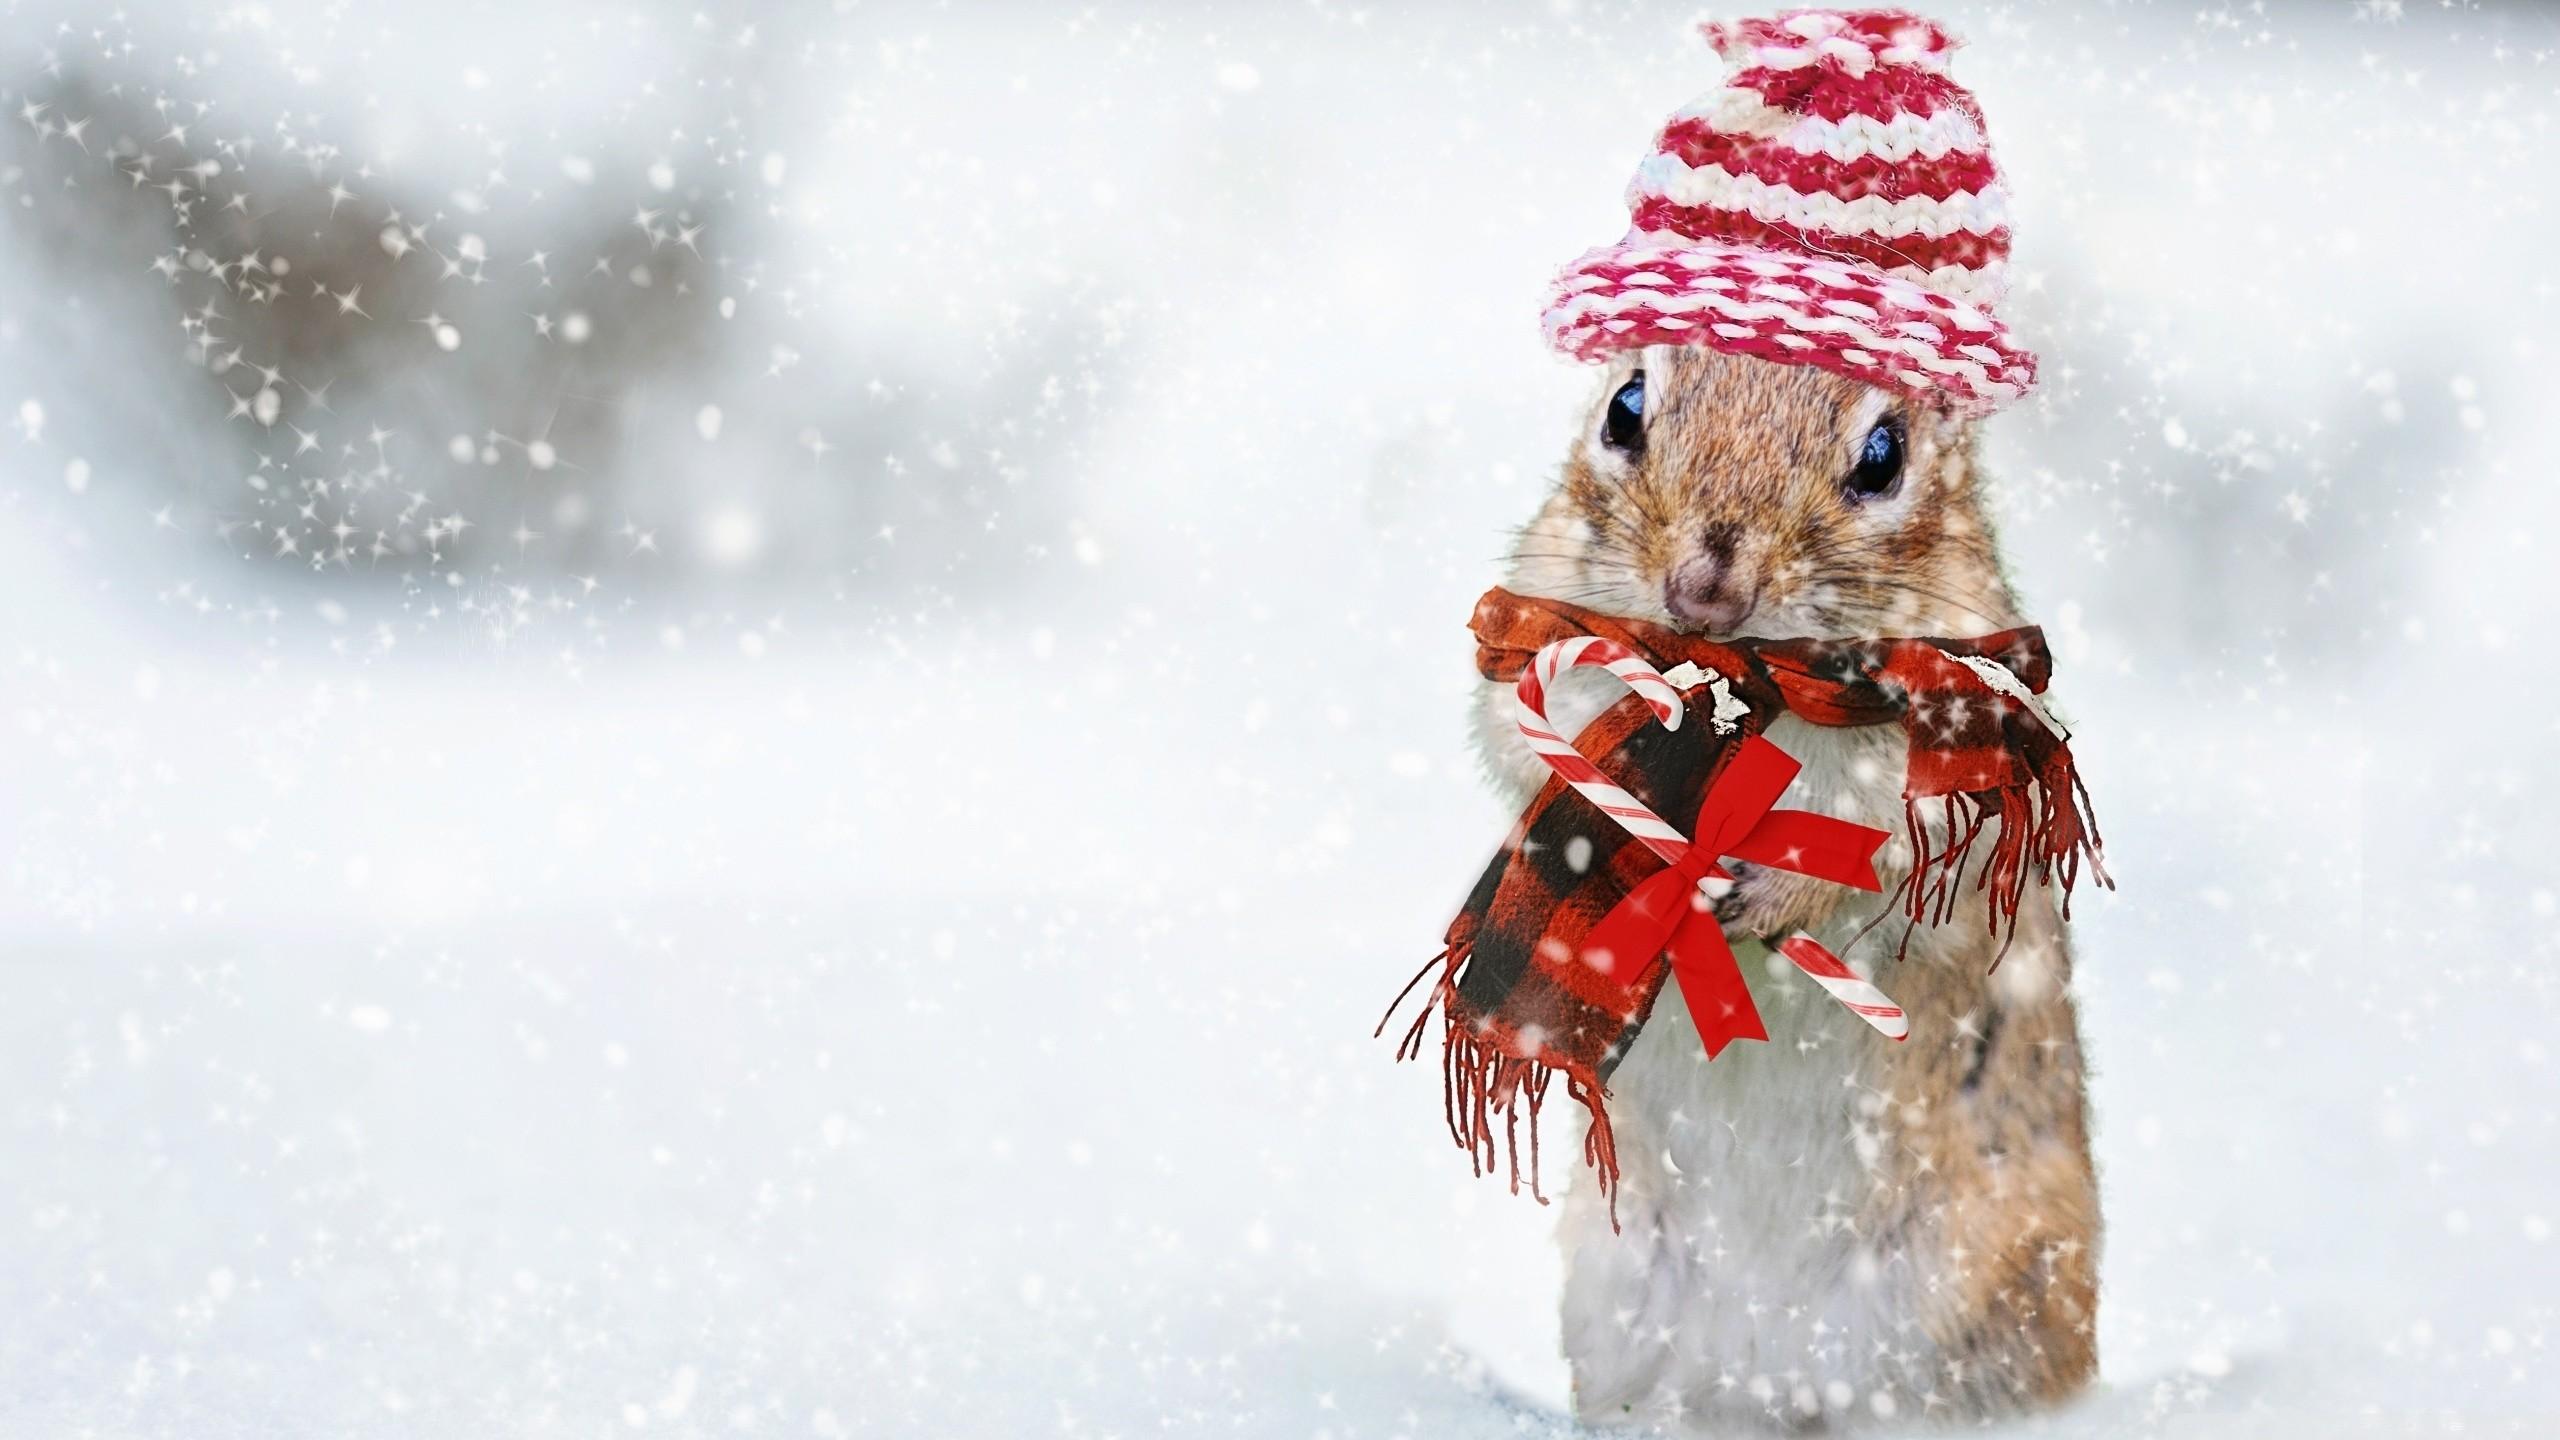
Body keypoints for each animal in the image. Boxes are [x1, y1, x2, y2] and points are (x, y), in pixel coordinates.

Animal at [1470, 343, 2099, 1430]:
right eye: (1624, 407)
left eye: (1884, 456)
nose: (1705, 591)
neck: (1737, 684)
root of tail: (1772, 1379)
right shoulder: (1538, 635)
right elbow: (1531, 750)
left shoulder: (1947, 738)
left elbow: (1882, 848)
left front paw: (1762, 895)